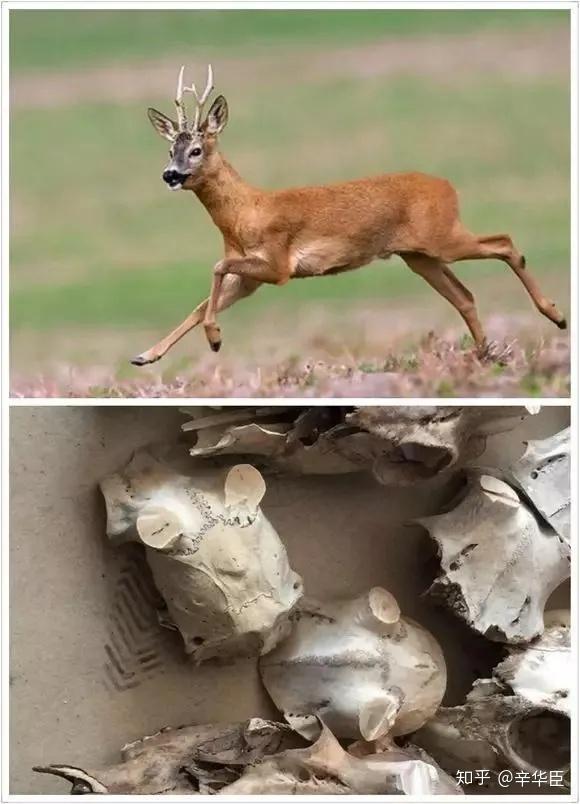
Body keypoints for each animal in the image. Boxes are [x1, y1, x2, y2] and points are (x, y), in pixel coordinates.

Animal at [130, 65, 567, 367]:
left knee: (505, 243)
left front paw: (215, 339)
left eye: (196, 150)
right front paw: (146, 355)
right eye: (170, 149)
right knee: (465, 295)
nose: (170, 175)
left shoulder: (278, 265)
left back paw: (555, 316)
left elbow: (216, 268)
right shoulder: (251, 277)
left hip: (443, 237)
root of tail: (447, 186)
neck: (244, 214)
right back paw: (486, 355)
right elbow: (203, 302)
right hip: (420, 256)